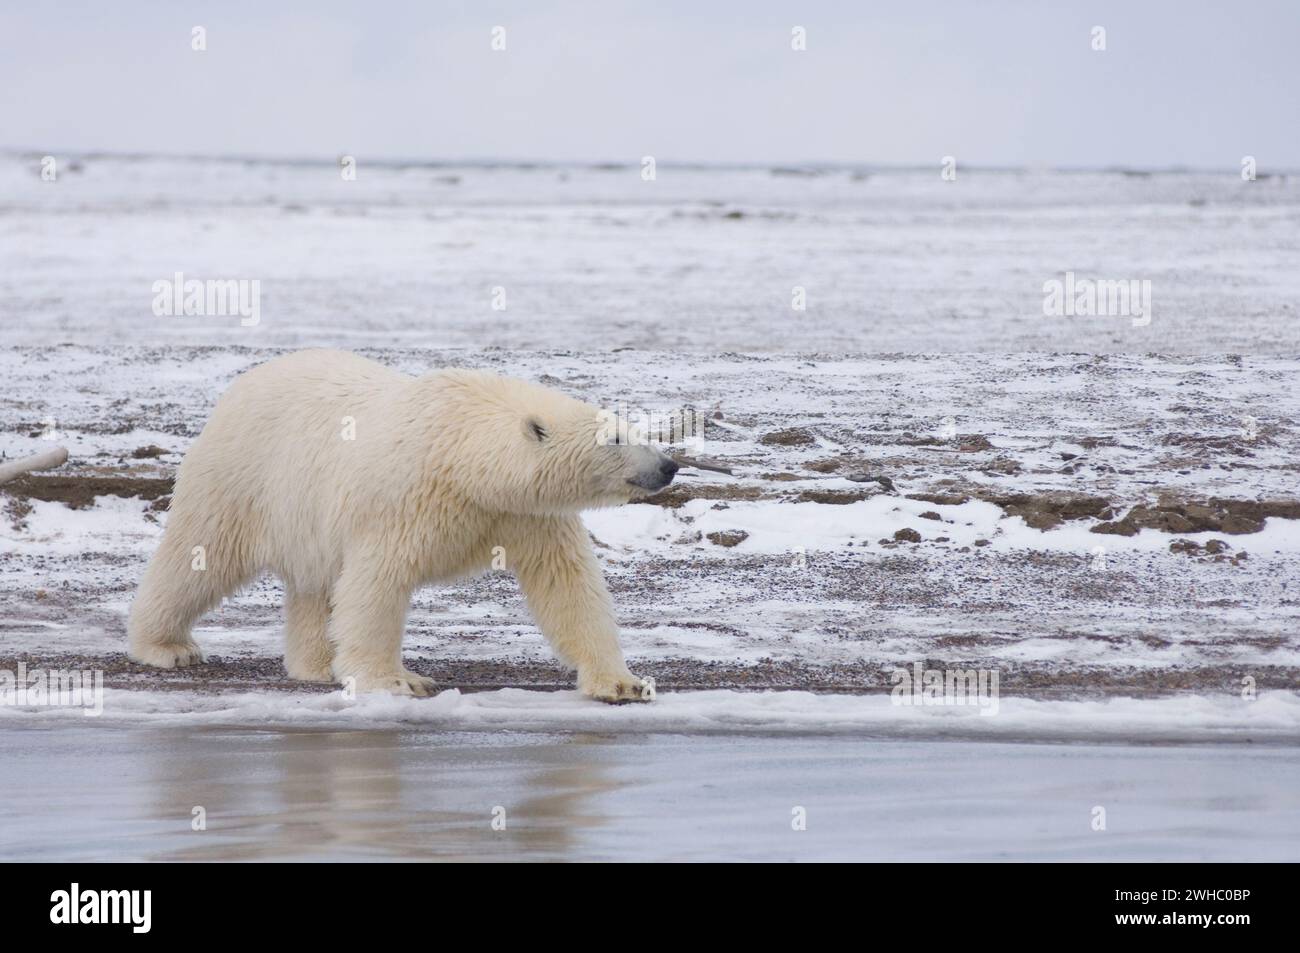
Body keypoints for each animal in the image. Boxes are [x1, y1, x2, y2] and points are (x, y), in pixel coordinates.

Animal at [126, 349, 678, 702]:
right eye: (614, 437)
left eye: (630, 428)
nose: (668, 466)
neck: (465, 457)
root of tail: (243, 383)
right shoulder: (404, 501)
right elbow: (377, 584)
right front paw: (398, 681)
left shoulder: (526, 513)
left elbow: (567, 585)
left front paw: (623, 684)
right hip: (243, 476)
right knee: (199, 556)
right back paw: (167, 647)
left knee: (313, 584)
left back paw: (317, 664)